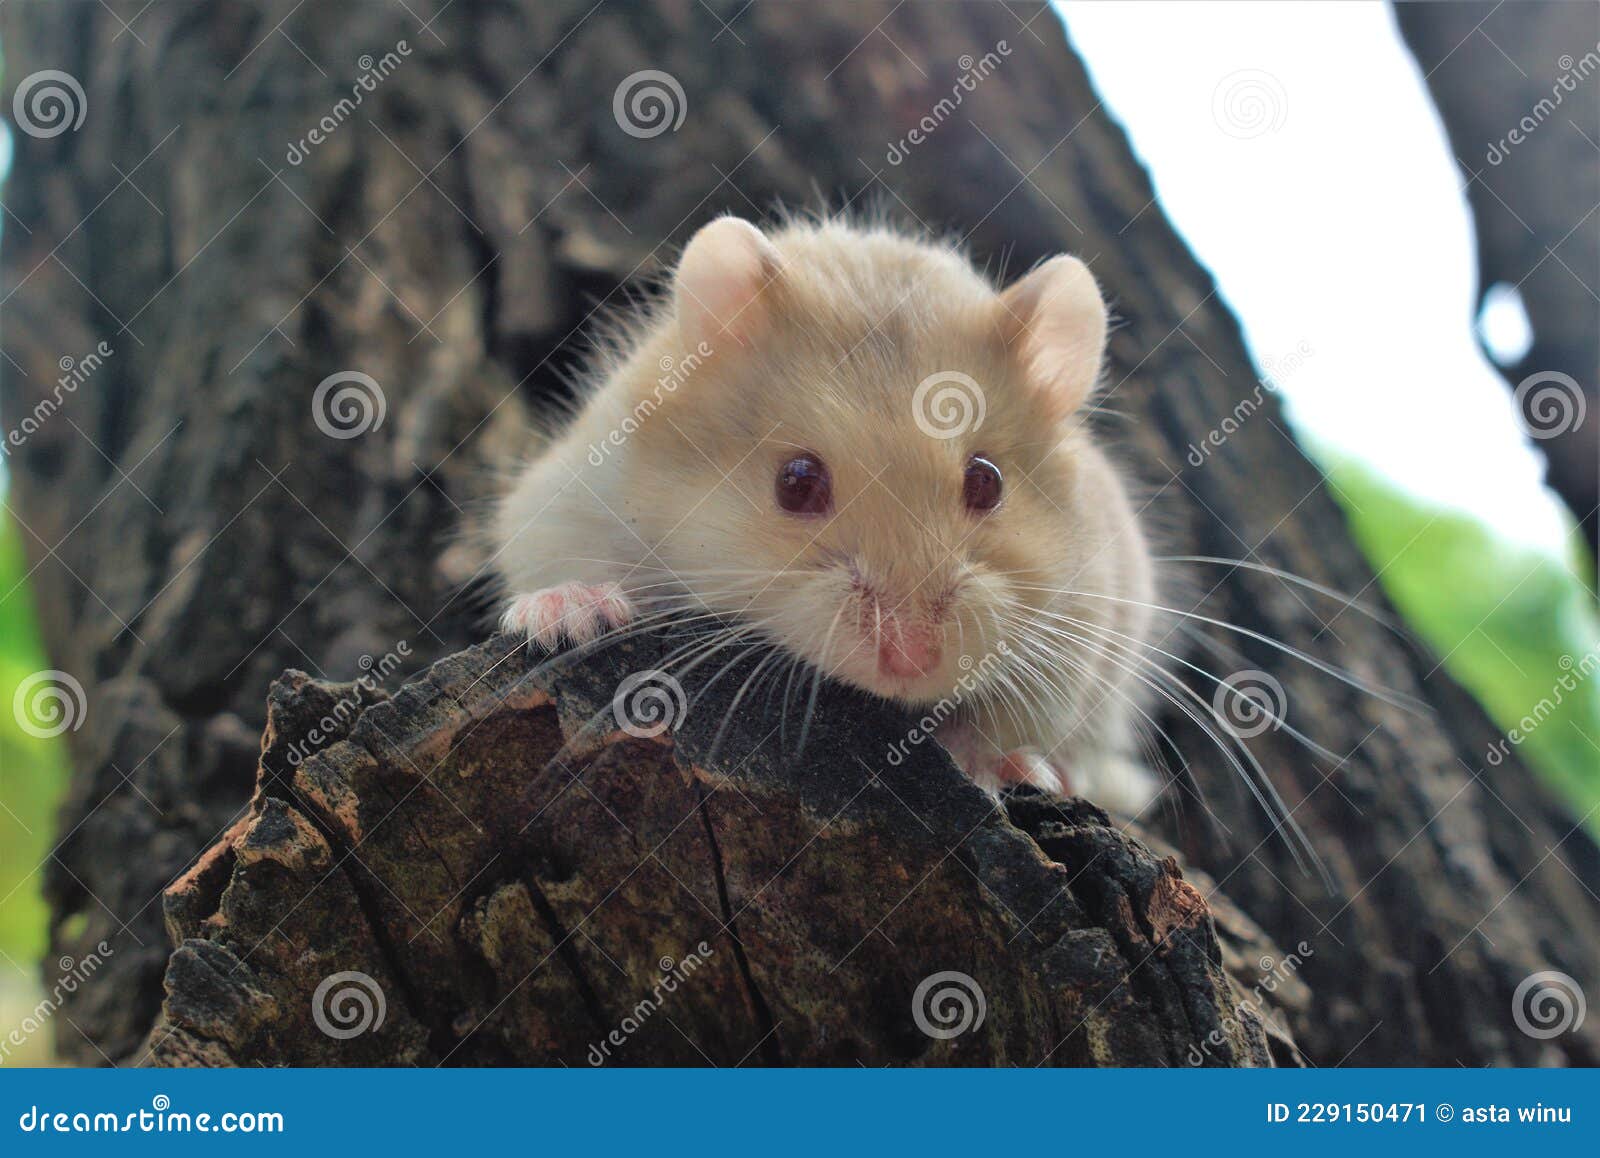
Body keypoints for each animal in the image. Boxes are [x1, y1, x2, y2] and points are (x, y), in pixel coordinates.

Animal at [491, 214, 1161, 815]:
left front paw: (995, 766)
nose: (911, 661)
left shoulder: (1082, 623)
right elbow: (562, 568)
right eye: (796, 482)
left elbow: (1016, 715)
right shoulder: (574, 495)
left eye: (987, 482)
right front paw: (572, 617)